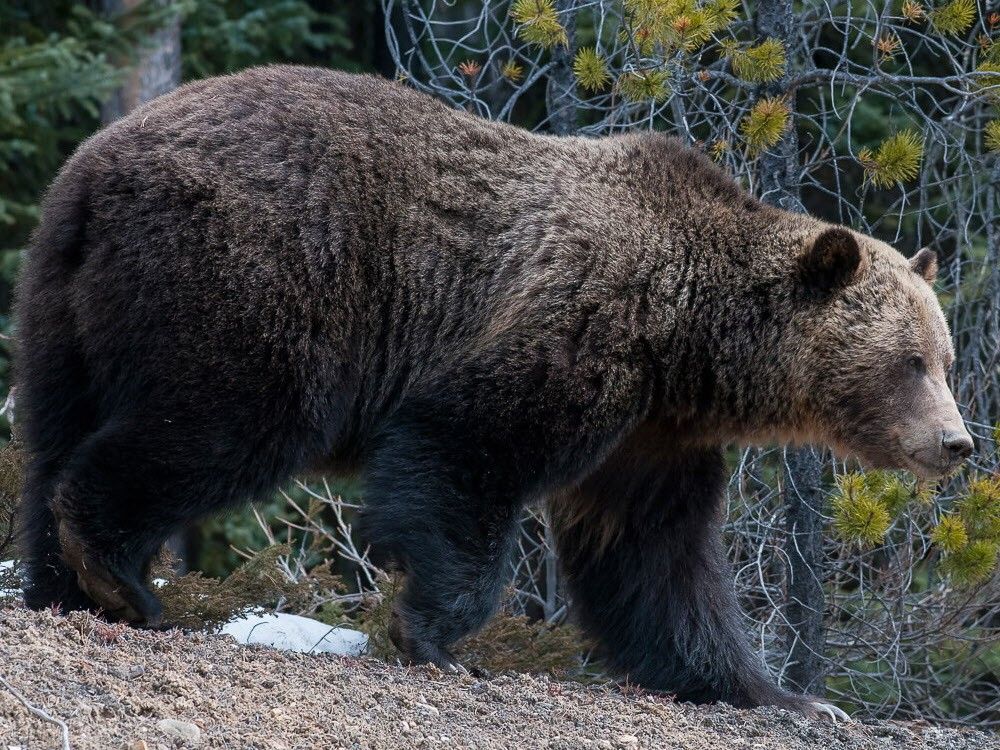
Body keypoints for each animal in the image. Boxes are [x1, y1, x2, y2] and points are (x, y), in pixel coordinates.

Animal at [14, 66, 972, 720]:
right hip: (252, 277)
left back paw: (62, 584)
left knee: (54, 433)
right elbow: (463, 453)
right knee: (219, 422)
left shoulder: (654, 436)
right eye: (910, 361)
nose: (957, 443)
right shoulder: (574, 330)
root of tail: (94, 170)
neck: (687, 342)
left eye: (946, 357)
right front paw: (438, 636)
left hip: (61, 305)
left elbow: (658, 561)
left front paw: (776, 691)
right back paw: (120, 575)